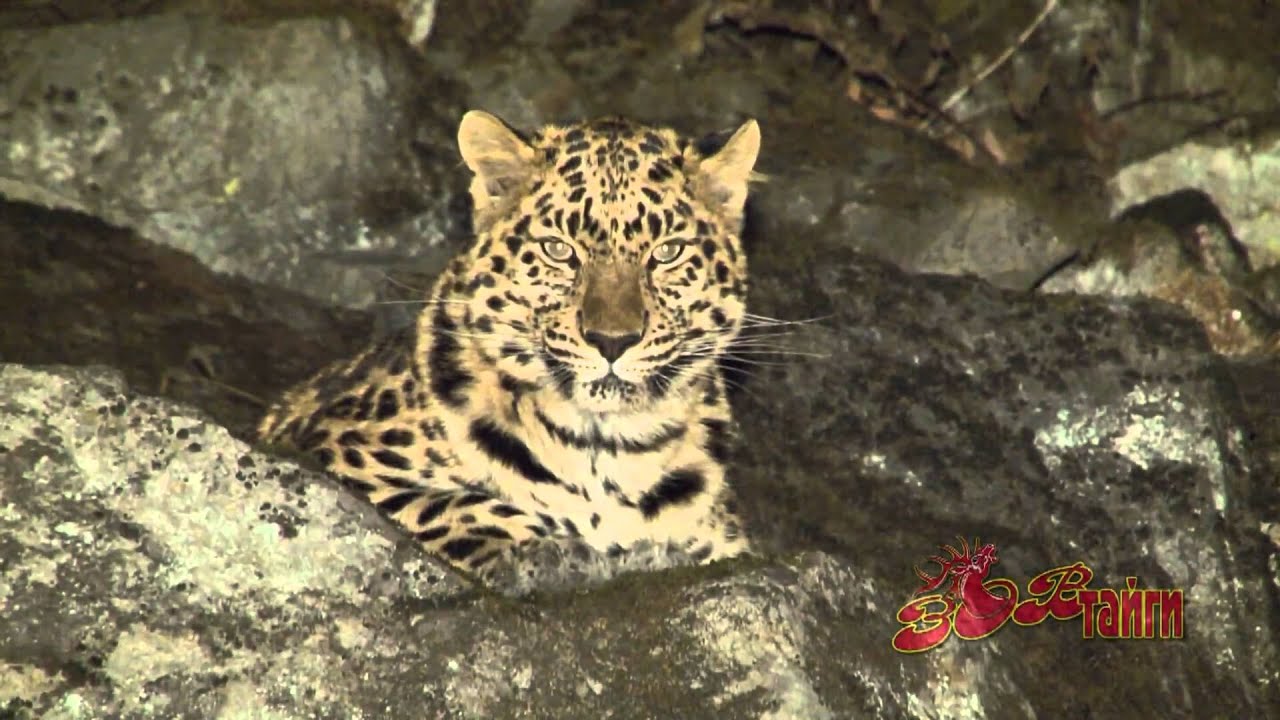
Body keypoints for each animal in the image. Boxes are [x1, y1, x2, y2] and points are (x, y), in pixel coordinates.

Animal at [257, 109, 762, 590]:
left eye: (667, 252)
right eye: (558, 249)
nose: (612, 341)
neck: (606, 450)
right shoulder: (334, 450)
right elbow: (454, 504)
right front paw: (554, 555)